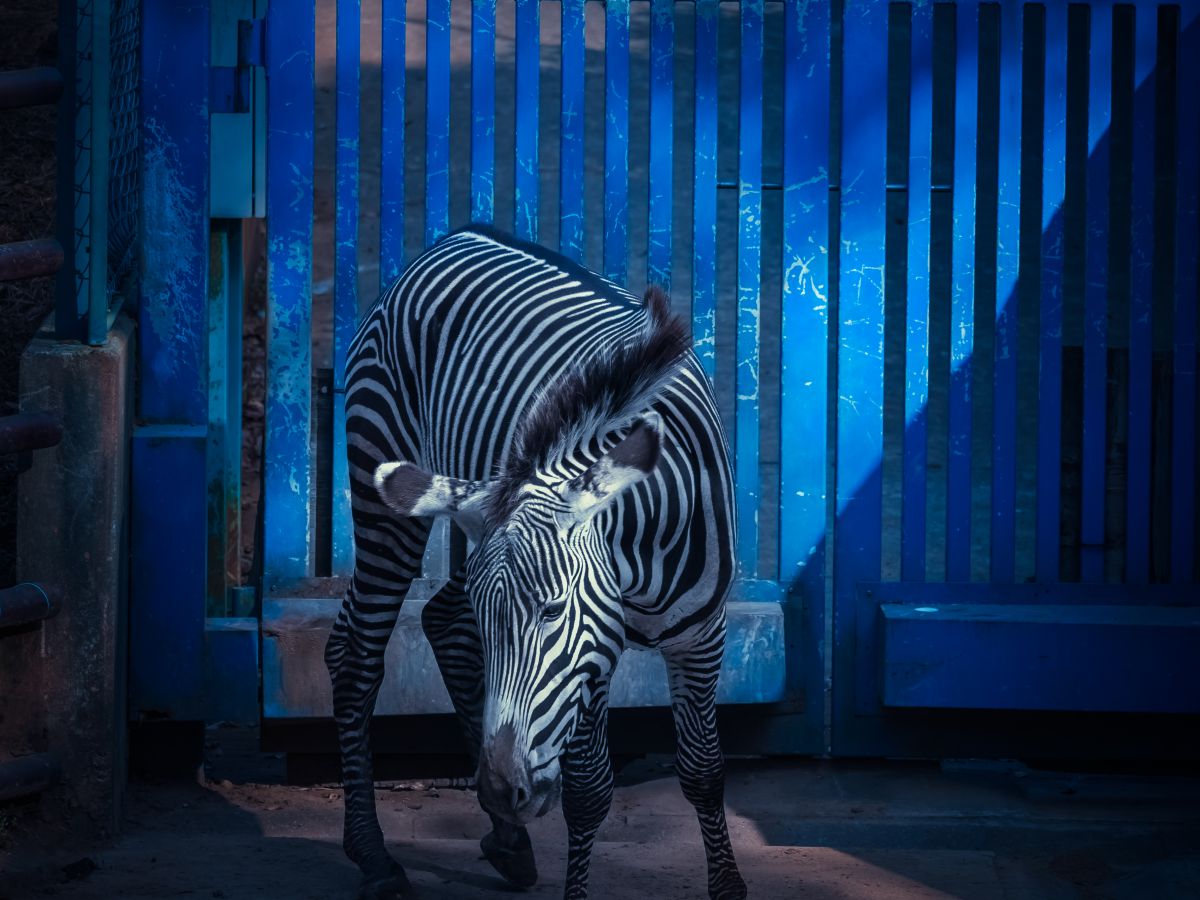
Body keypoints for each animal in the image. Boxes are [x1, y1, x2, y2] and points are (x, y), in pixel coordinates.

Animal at [324, 225, 747, 900]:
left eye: (551, 612)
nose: (501, 790)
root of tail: (453, 238)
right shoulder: (597, 652)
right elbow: (589, 793)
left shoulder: (702, 635)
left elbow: (704, 772)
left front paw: (729, 886)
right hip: (382, 478)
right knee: (357, 653)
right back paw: (375, 856)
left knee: (441, 619)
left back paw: (507, 840)